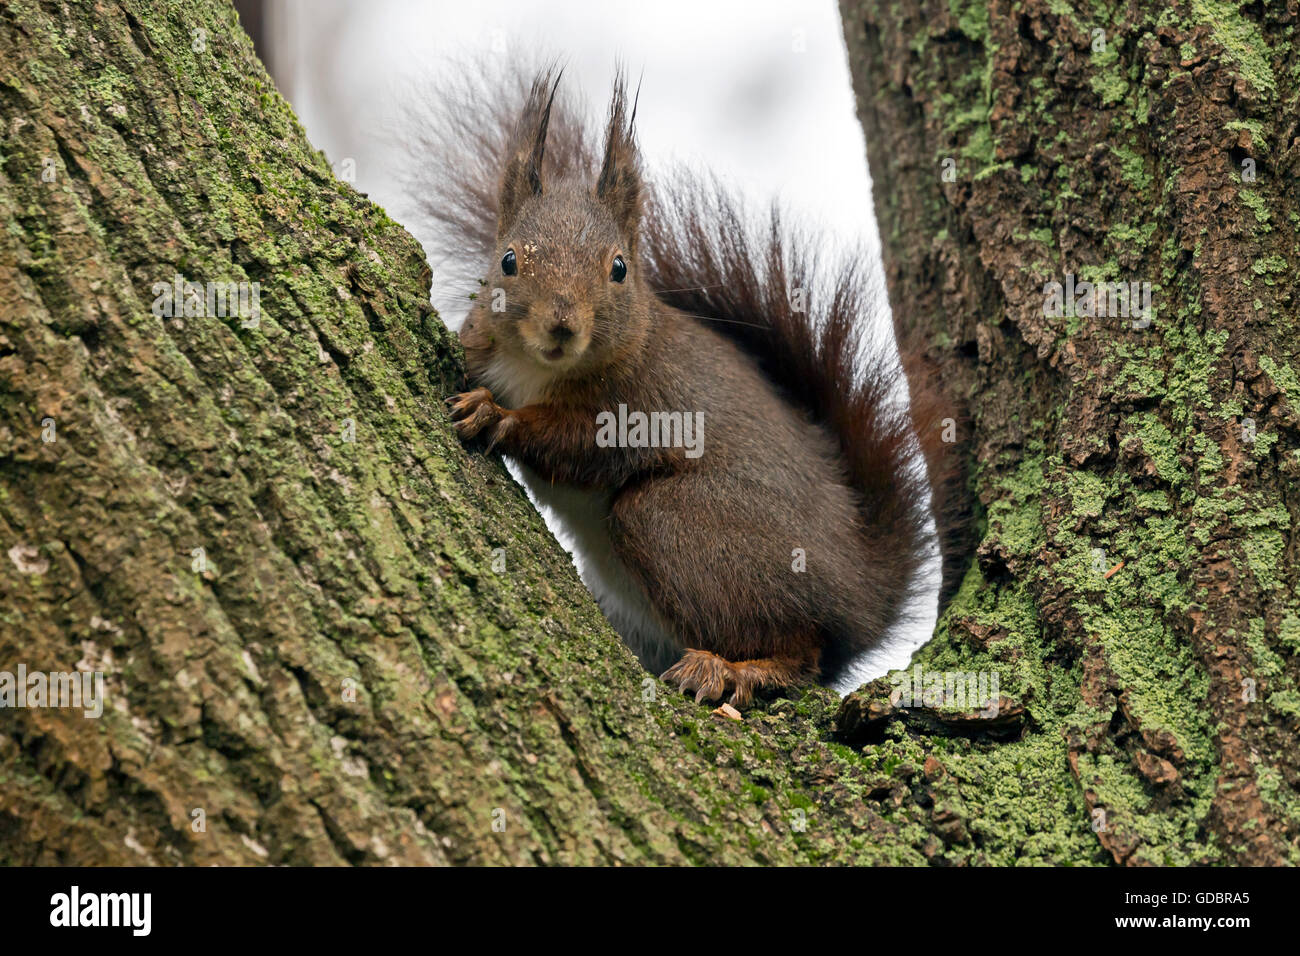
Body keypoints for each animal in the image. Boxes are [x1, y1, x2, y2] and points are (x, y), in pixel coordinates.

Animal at [433, 69, 964, 708]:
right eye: (508, 260)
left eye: (619, 268)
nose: (561, 327)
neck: (540, 370)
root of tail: (863, 593)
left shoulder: (645, 403)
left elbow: (579, 446)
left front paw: (498, 416)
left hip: (684, 524)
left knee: (805, 649)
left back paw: (740, 670)